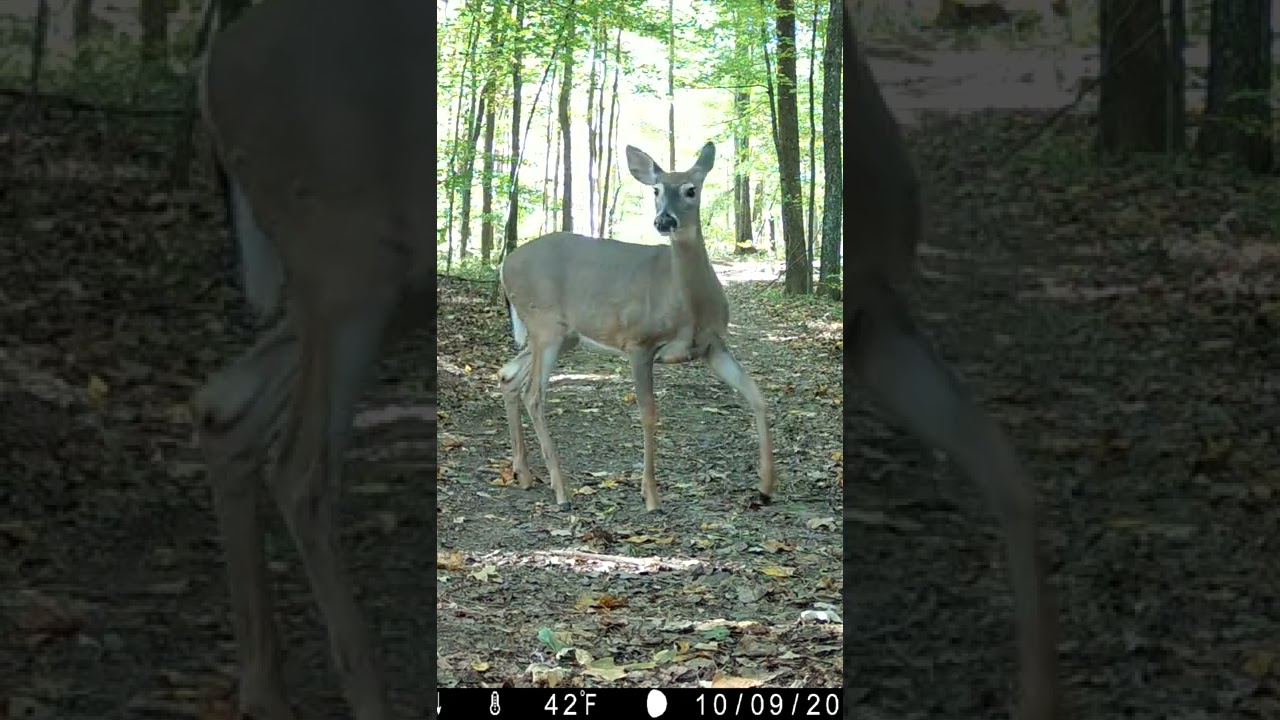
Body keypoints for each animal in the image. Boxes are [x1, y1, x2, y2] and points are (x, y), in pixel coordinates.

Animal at [187, 0, 432, 718]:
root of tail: (212, 67)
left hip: (379, 283)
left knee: (221, 407)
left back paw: (265, 690)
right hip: (348, 254)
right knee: (300, 467)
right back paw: (368, 694)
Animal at [496, 142, 775, 513]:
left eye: (691, 189)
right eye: (656, 190)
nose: (664, 220)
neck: (686, 302)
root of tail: (503, 265)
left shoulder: (712, 345)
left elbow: (756, 395)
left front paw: (766, 486)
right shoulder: (639, 342)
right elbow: (648, 414)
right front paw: (652, 495)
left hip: (562, 336)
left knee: (508, 377)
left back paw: (525, 475)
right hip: (545, 325)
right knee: (534, 395)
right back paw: (561, 489)